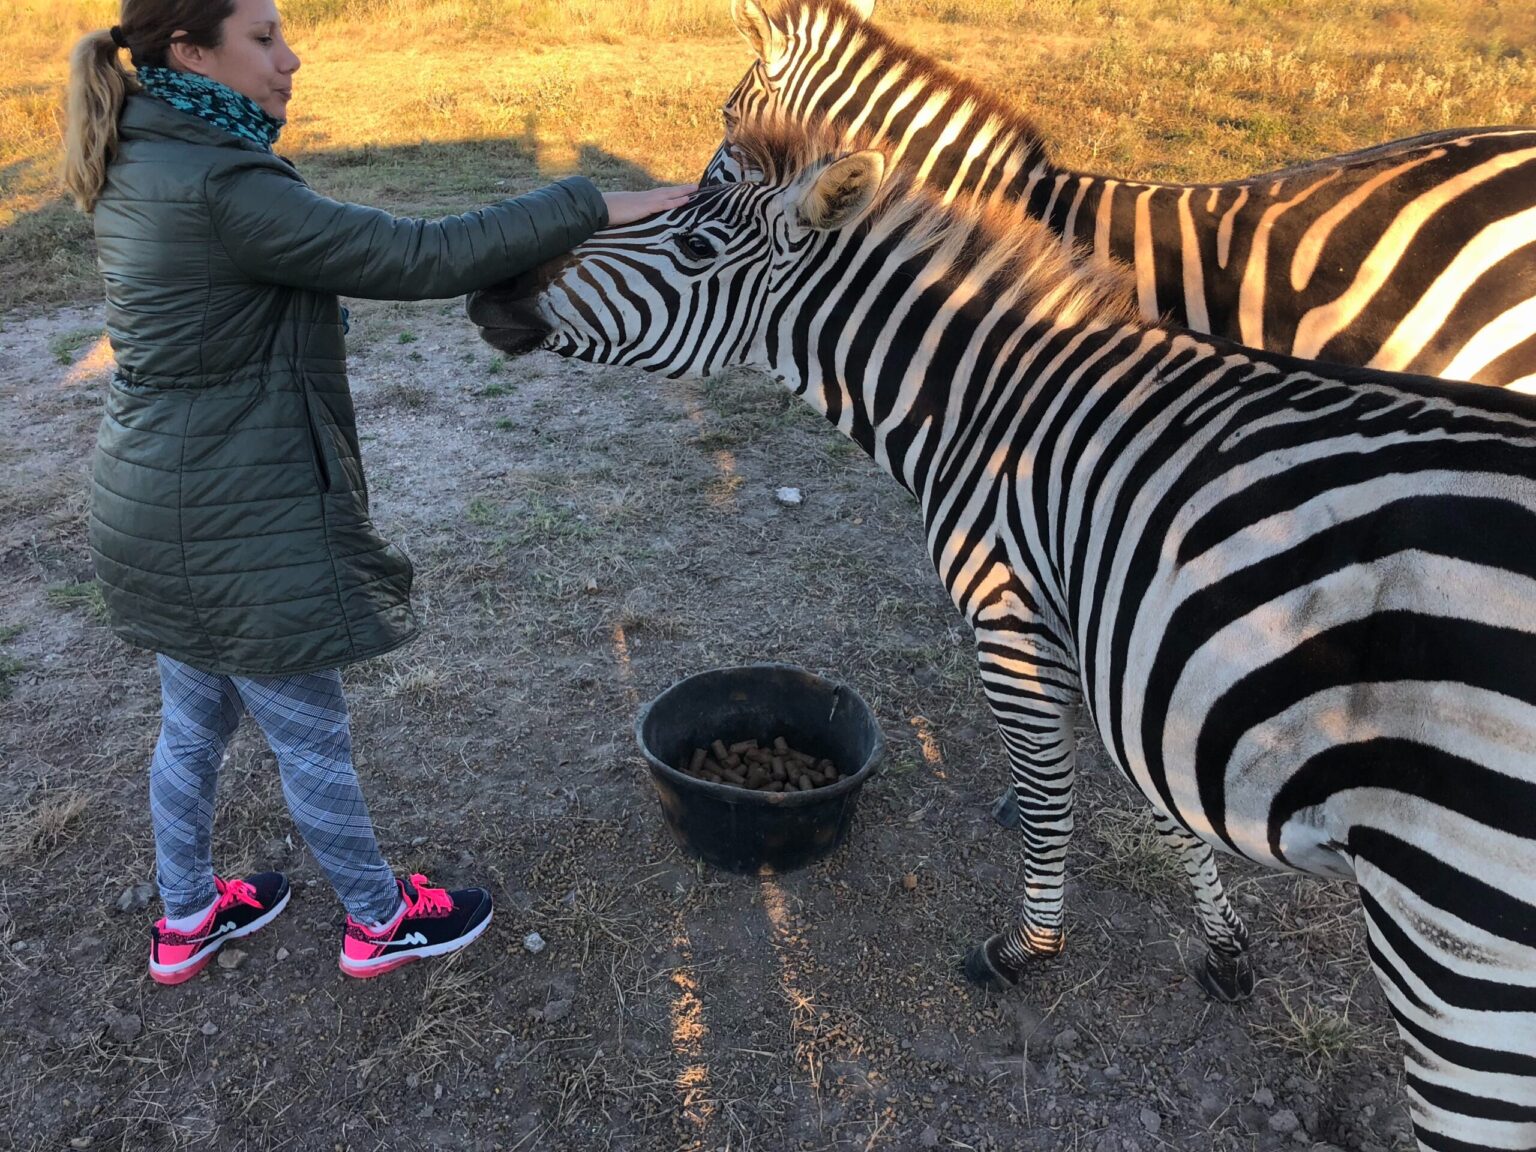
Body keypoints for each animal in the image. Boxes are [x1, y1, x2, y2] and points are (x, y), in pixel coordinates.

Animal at [467, 116, 1536, 1152]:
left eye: (691, 246)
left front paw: (1028, 951)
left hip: (1455, 946)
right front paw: (1226, 951)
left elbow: (1052, 797)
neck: (991, 410)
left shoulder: (1014, 615)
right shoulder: (1115, 642)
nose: (490, 291)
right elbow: (1155, 803)